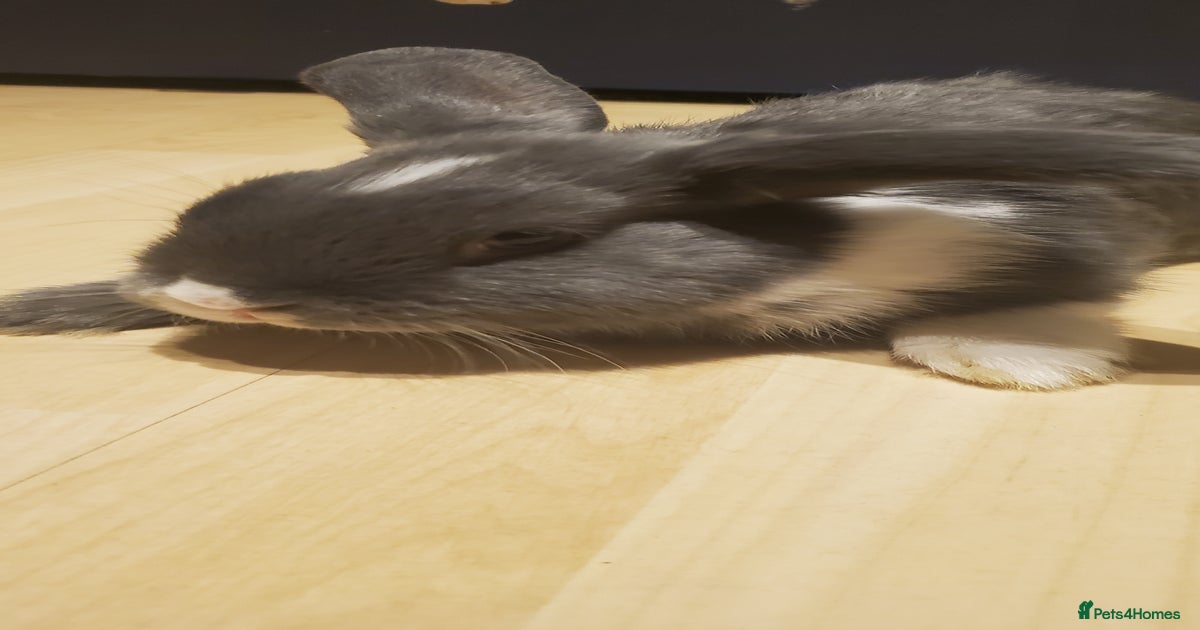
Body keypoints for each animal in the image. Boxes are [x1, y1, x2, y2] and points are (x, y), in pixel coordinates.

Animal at [2, 47, 1199, 390]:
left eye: (518, 241)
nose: (200, 291)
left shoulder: (1069, 225)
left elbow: (1071, 294)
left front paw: (1004, 361)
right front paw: (42, 306)